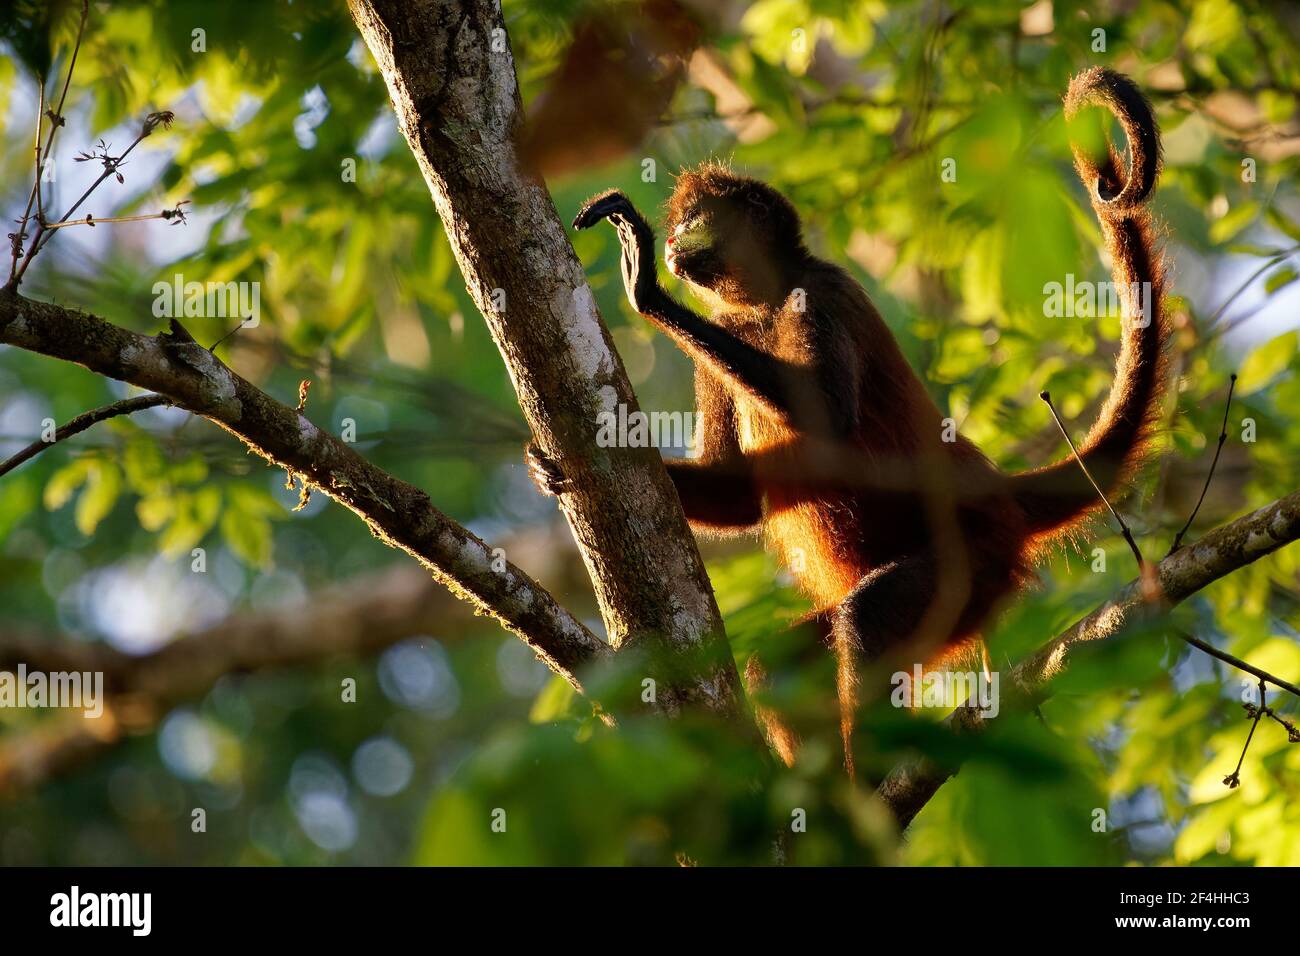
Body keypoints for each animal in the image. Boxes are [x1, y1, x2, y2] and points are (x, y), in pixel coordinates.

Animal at [528, 68, 1170, 773]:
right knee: (778, 666)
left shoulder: (823, 293)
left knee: (865, 618)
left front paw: (645, 283)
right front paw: (553, 466)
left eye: (695, 219)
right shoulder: (727, 328)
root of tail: (992, 488)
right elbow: (737, 493)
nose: (673, 244)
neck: (763, 306)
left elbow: (831, 420)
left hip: (975, 559)